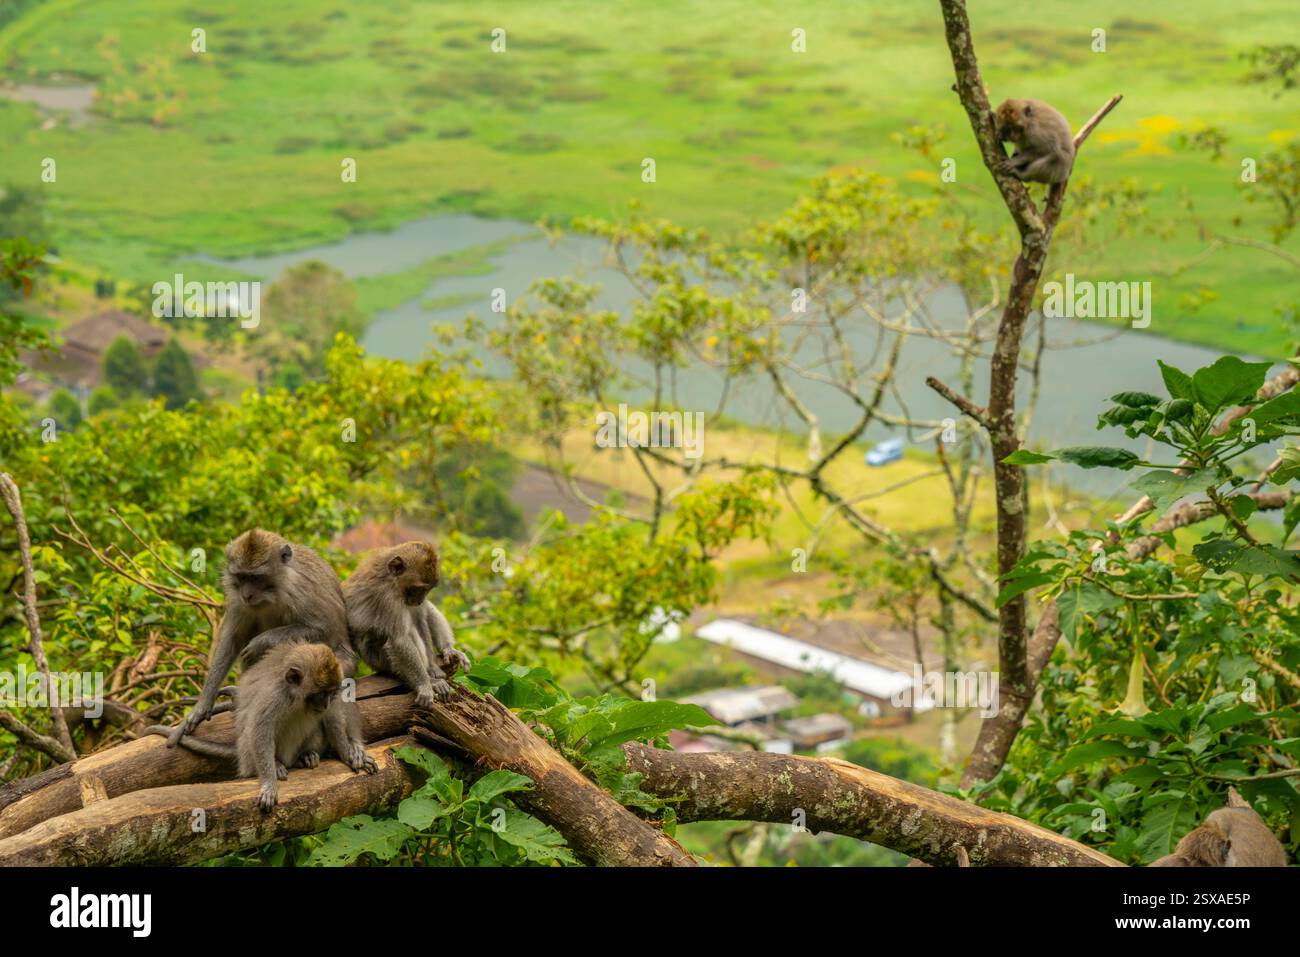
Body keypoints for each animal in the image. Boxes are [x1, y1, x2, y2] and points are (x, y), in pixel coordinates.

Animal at [146, 642, 376, 811]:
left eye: (331, 693)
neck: (295, 698)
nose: (327, 703)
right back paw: (277, 764)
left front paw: (348, 754)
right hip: (249, 757)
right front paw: (269, 782)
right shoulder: (273, 695)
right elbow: (259, 729)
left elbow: (332, 721)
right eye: (320, 694)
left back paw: (306, 755)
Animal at [168, 529, 355, 748]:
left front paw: (261, 641)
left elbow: (323, 630)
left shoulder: (301, 592)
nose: (247, 595)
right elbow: (233, 639)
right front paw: (203, 704)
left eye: (256, 578)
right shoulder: (237, 597)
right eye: (242, 577)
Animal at [342, 541, 471, 711]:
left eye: (428, 589)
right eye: (419, 588)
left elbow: (421, 620)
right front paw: (426, 684)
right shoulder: (387, 597)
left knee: (425, 612)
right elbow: (400, 639)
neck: (393, 580)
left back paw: (448, 650)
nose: (420, 600)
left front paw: (433, 669)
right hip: (378, 659)